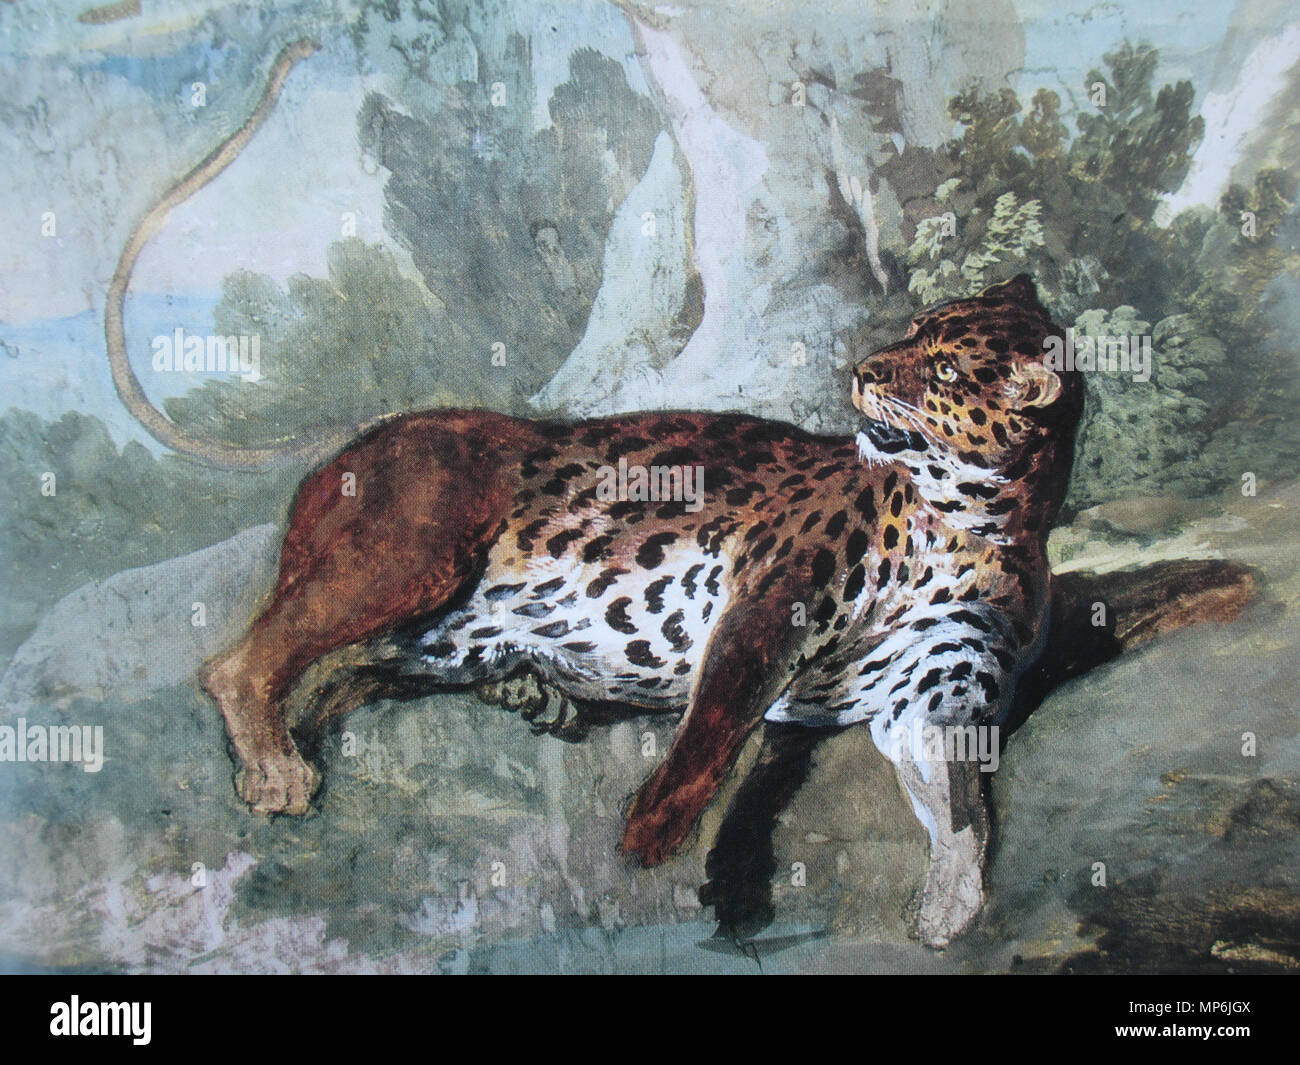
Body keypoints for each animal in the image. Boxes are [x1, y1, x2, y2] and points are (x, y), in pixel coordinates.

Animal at [199, 273, 1084, 948]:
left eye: (944, 371)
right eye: (910, 335)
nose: (864, 369)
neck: (976, 522)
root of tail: (344, 449)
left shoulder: (936, 694)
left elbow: (962, 812)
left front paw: (951, 904)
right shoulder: (773, 601)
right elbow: (713, 731)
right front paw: (651, 835)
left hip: (437, 632)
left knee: (347, 672)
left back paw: (531, 691)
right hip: (414, 552)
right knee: (244, 659)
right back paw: (276, 764)